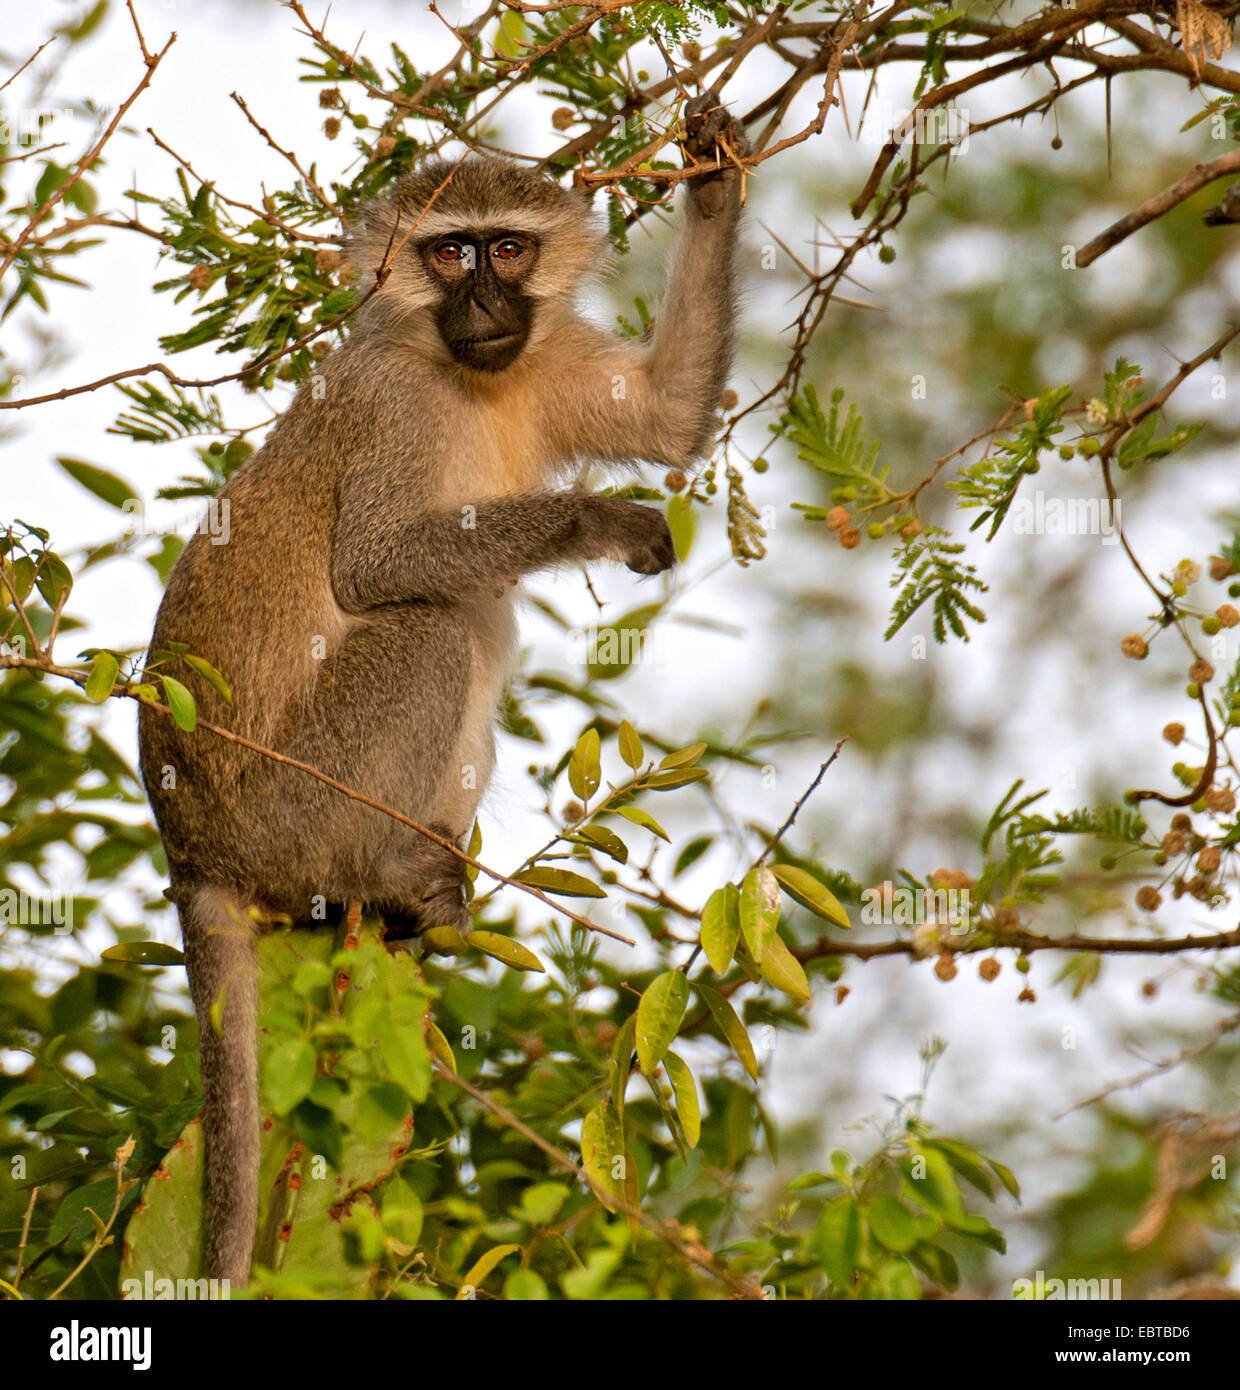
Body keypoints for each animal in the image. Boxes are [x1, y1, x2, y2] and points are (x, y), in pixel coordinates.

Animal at [137, 91, 747, 1287]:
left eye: (505, 249)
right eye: (447, 251)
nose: (480, 298)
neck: (469, 373)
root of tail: (191, 842)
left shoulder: (546, 355)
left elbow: (662, 415)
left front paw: (712, 169)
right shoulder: (392, 403)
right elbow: (372, 569)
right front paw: (592, 518)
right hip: (293, 803)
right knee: (433, 626)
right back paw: (385, 871)